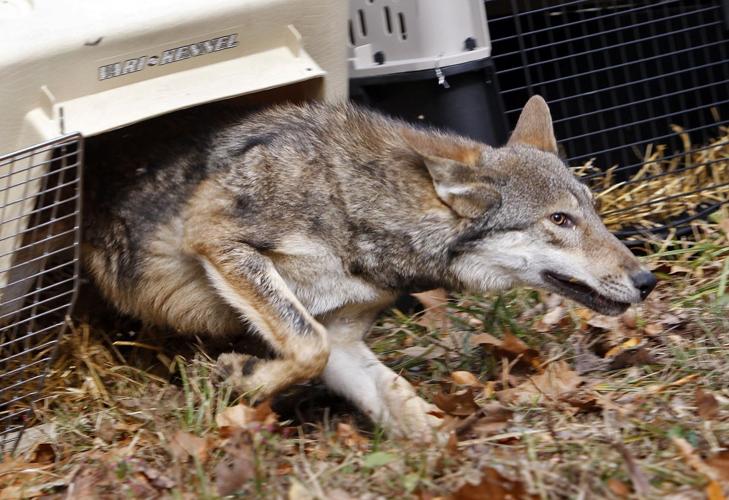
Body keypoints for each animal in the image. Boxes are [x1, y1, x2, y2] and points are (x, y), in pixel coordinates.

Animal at [82, 95, 656, 439]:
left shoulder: (342, 339)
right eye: (559, 219)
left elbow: (406, 406)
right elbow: (305, 345)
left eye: (593, 212)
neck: (352, 208)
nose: (646, 281)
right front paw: (240, 376)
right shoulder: (213, 235)